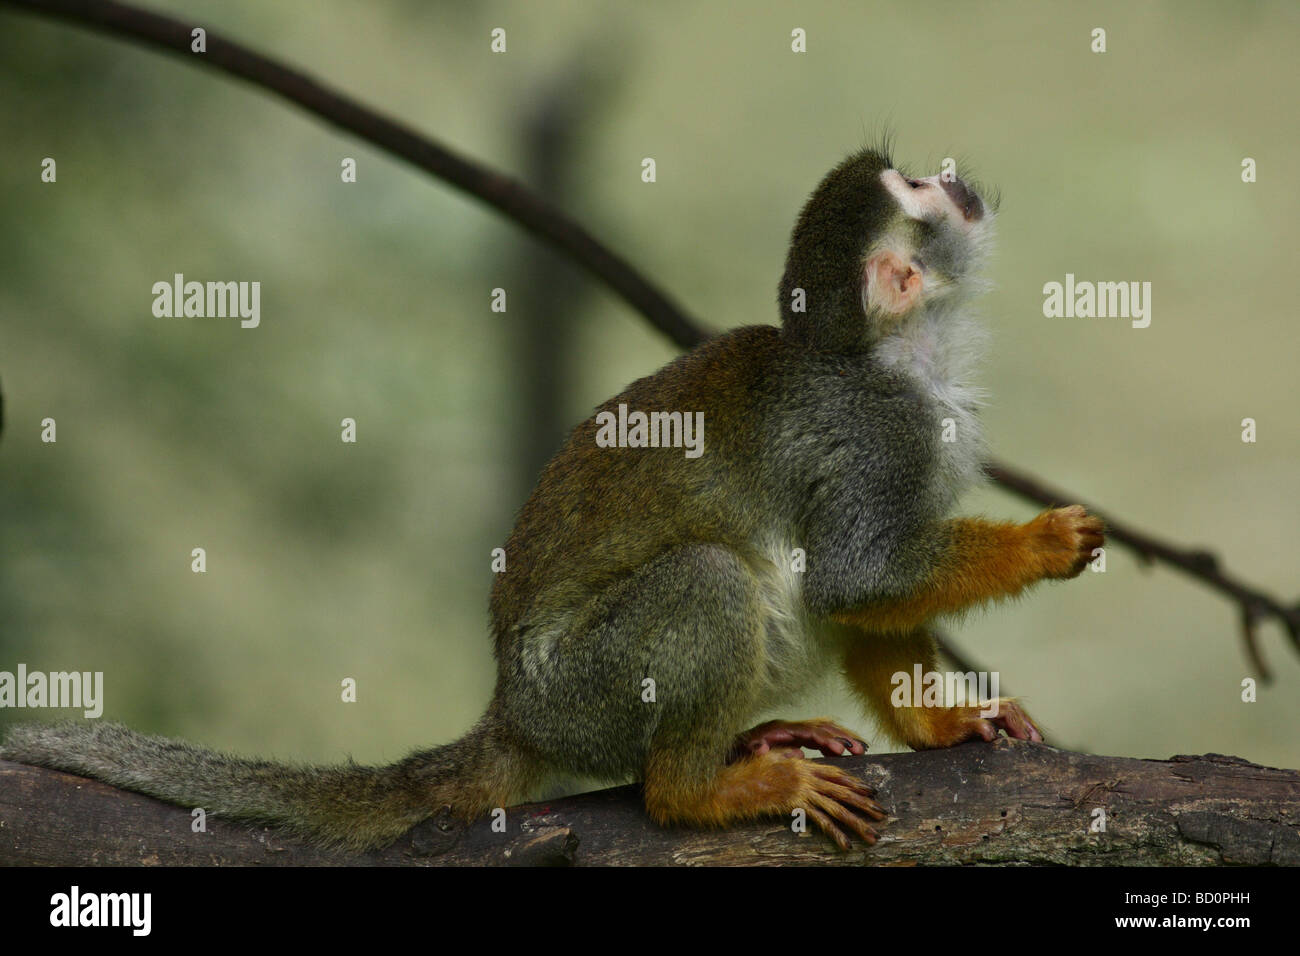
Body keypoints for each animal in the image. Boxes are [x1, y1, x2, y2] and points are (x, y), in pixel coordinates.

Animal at [1, 144, 1103, 852]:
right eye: (916, 188)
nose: (953, 176)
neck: (897, 356)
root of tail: (512, 713)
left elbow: (859, 598)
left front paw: (938, 726)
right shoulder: (880, 431)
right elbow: (853, 573)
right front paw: (1043, 545)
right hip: (582, 691)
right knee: (713, 579)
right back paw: (694, 790)